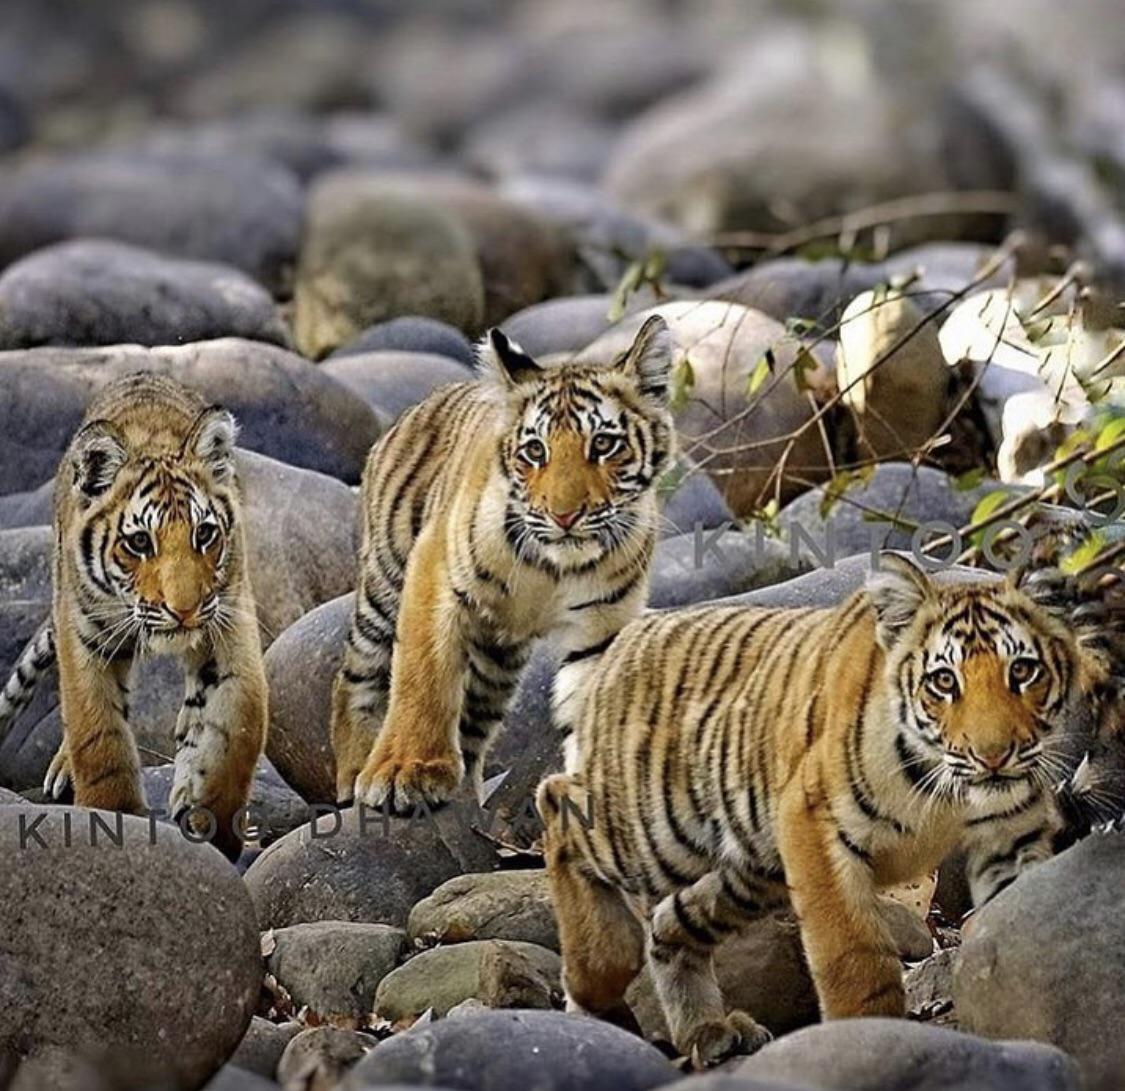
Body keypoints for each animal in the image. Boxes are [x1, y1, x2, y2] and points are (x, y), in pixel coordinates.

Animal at [0, 373, 267, 861]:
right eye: (140, 542)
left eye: (205, 534)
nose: (184, 609)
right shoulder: (84, 636)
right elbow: (98, 736)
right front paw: (115, 821)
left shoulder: (228, 623)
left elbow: (237, 728)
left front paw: (212, 821)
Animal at [330, 316, 674, 813]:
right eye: (535, 451)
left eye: (604, 445)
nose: (564, 515)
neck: (552, 569)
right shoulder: (433, 571)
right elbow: (422, 676)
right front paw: (405, 770)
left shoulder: (602, 624)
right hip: (384, 582)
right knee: (355, 676)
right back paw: (355, 770)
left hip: (498, 657)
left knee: (474, 724)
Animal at [537, 553, 1112, 1066]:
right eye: (944, 681)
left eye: (1023, 671)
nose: (993, 756)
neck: (948, 789)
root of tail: (628, 638)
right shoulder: (815, 826)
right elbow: (852, 955)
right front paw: (865, 1036)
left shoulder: (1008, 838)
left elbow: (1009, 917)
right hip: (654, 828)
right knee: (557, 802)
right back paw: (598, 976)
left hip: (751, 872)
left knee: (670, 923)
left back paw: (707, 1029)